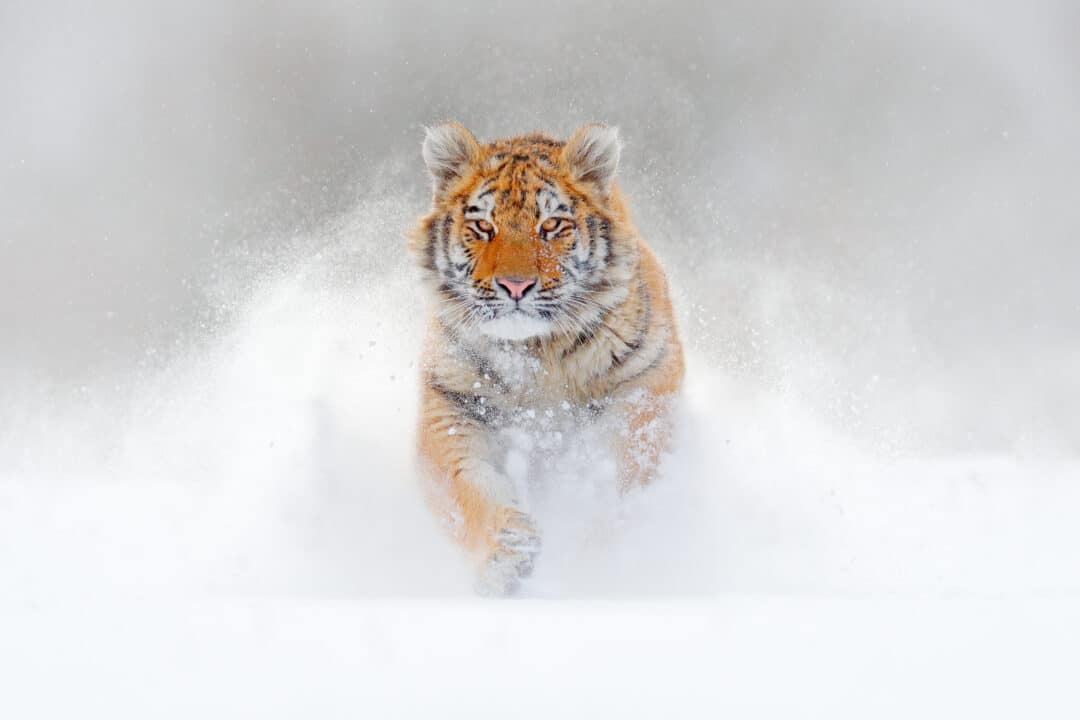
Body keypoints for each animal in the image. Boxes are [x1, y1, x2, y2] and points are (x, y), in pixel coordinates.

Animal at [409, 122, 684, 595]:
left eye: (552, 224)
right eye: (483, 225)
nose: (515, 286)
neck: (537, 353)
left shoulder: (646, 384)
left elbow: (625, 470)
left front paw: (596, 538)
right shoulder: (451, 405)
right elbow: (468, 487)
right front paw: (507, 553)